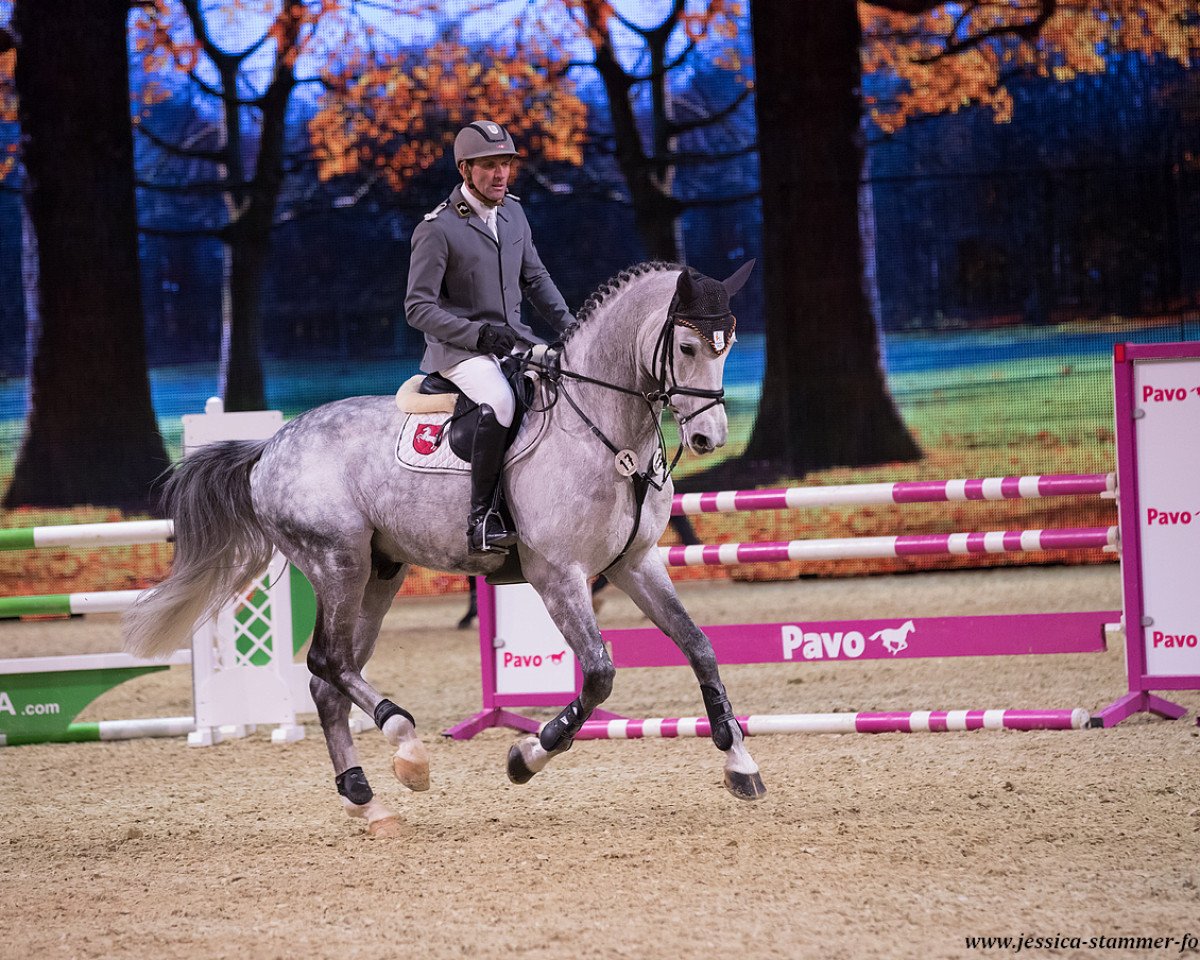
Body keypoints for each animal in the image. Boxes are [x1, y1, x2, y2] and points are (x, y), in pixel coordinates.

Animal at [124, 260, 766, 834]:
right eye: (687, 346)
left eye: (728, 344)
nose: (707, 438)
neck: (606, 432)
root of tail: (271, 445)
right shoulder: (558, 575)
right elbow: (599, 675)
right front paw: (525, 756)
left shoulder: (635, 563)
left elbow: (699, 647)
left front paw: (740, 763)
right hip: (337, 561)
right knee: (327, 661)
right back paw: (405, 744)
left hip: (378, 575)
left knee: (329, 681)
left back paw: (368, 801)